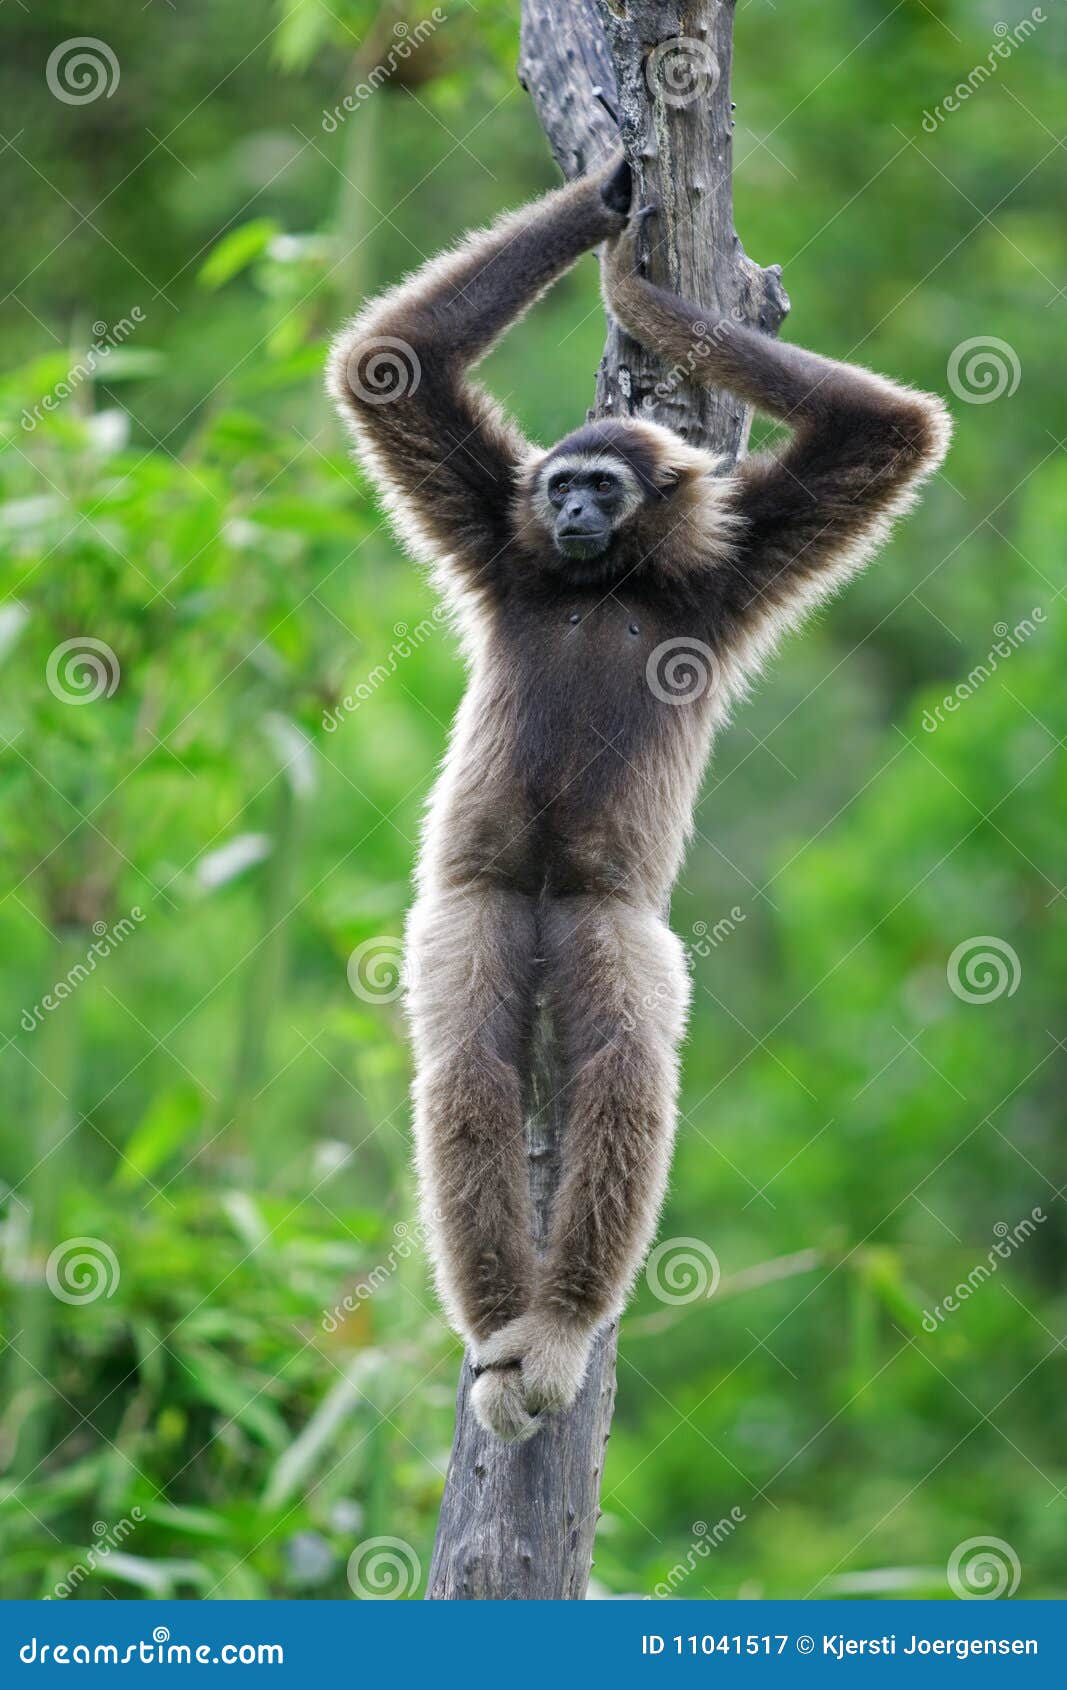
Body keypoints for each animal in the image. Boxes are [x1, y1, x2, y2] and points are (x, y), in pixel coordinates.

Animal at [328, 156, 950, 1442]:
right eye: (562, 484)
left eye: (602, 488)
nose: (568, 512)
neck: (608, 576)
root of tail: (547, 904)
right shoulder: (499, 531)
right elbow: (388, 363)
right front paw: (608, 205)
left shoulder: (729, 569)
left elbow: (887, 431)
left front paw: (626, 270)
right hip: (476, 906)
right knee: (469, 1066)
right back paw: (509, 1326)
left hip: (603, 923)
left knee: (619, 1057)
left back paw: (557, 1327)